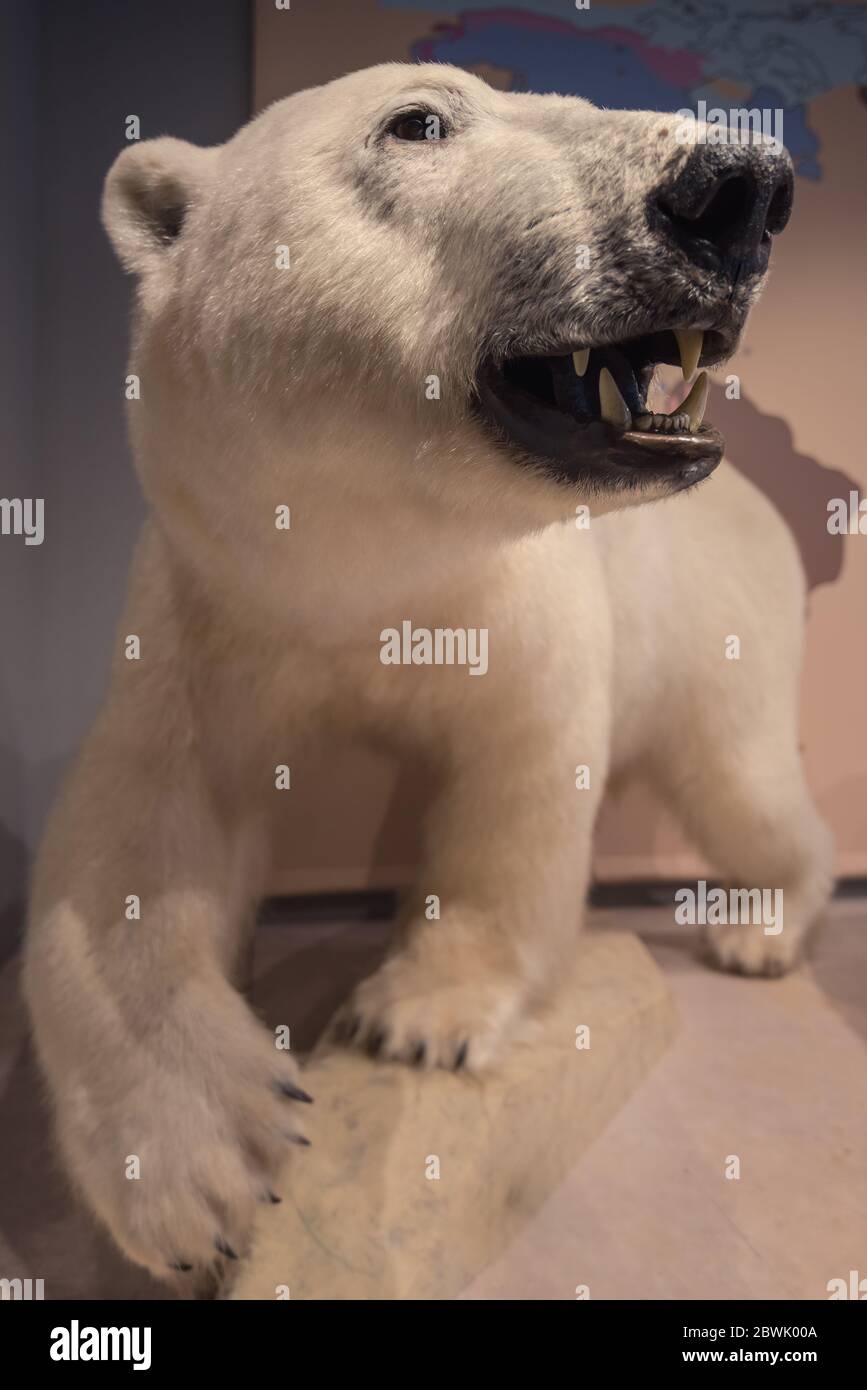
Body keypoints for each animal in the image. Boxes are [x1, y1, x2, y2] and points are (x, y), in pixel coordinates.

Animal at [24, 63, 833, 1287]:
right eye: (418, 122)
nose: (737, 187)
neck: (371, 574)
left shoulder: (517, 604)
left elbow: (519, 783)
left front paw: (417, 1014)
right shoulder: (210, 602)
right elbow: (138, 833)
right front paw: (199, 1157)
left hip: (722, 625)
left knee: (741, 784)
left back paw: (759, 926)